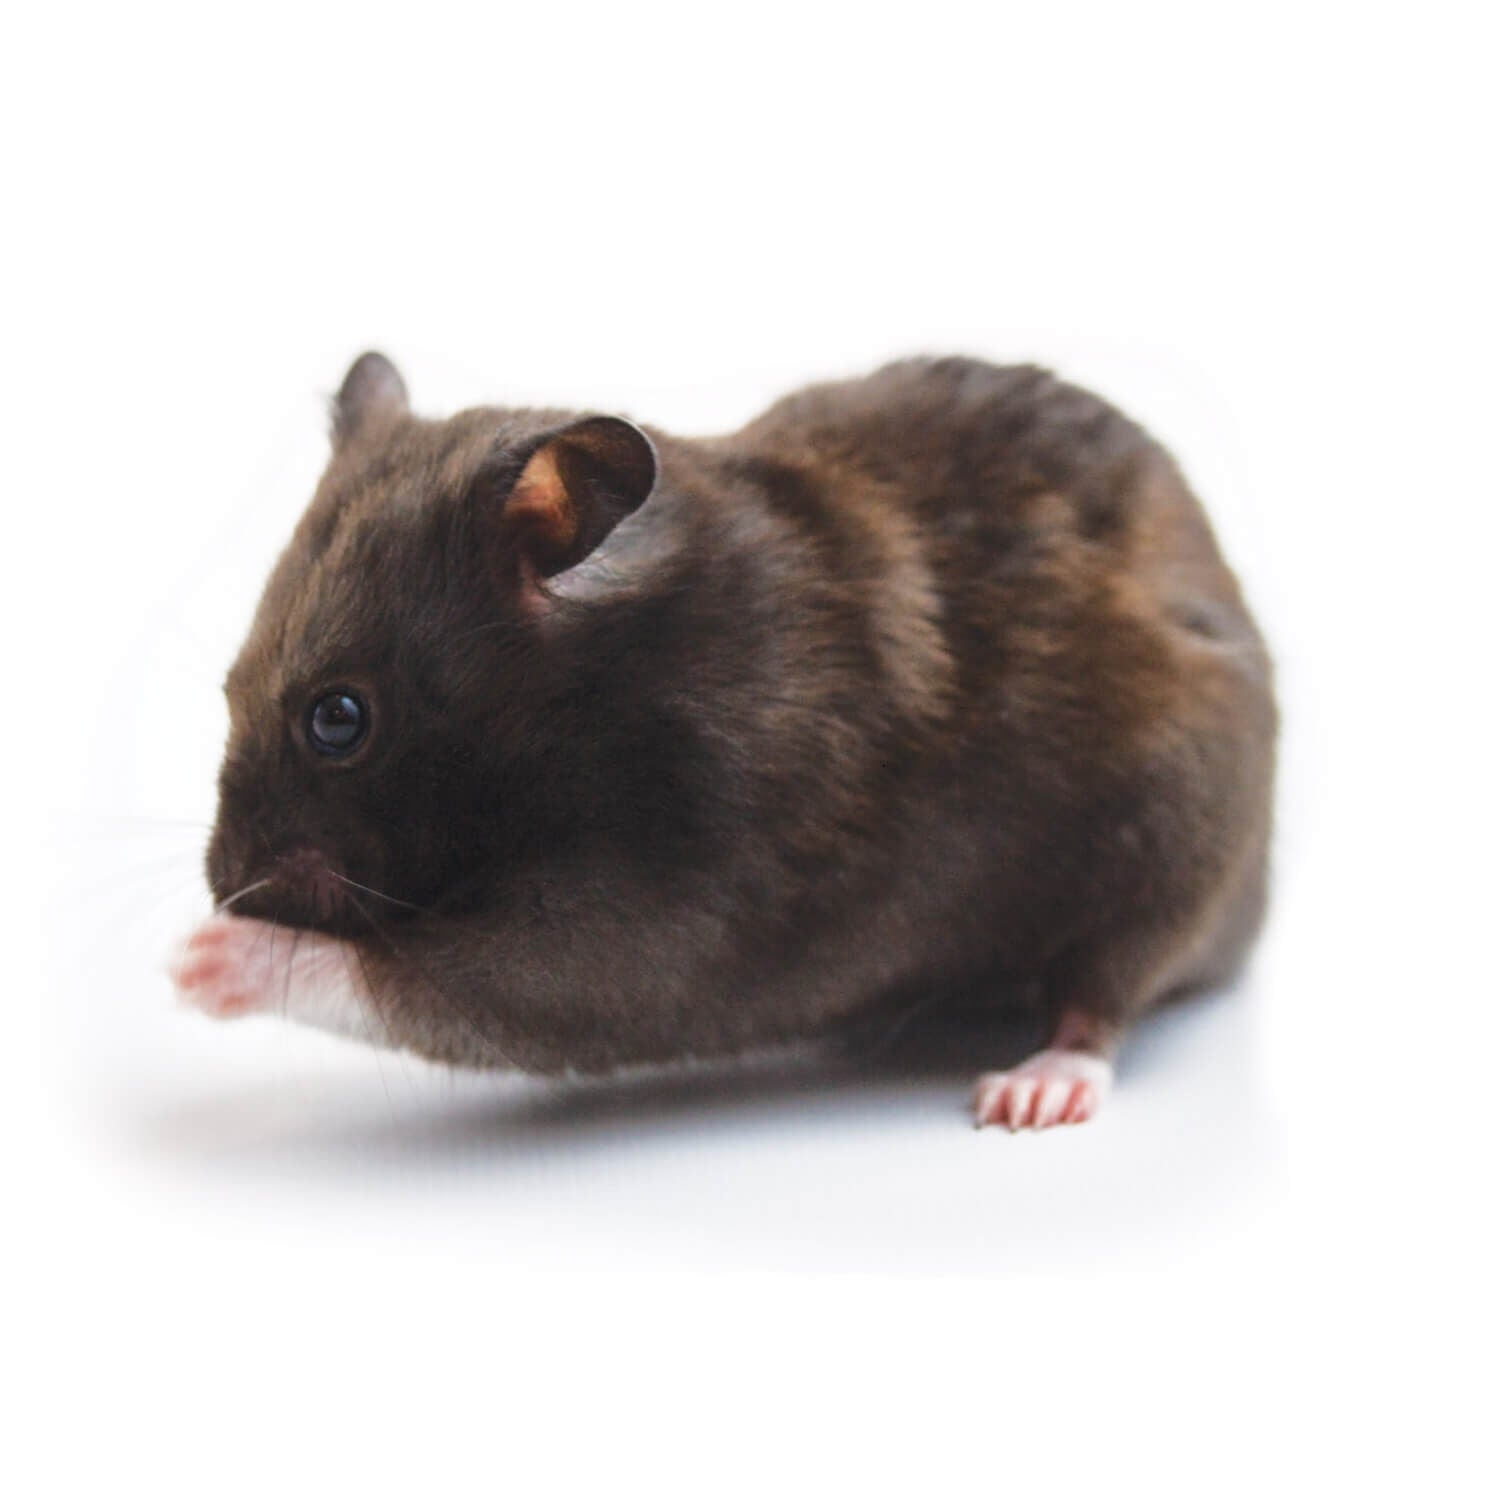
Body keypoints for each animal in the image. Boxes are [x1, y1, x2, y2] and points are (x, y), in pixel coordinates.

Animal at [171, 352, 1276, 1129]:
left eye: (338, 718)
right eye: (227, 684)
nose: (226, 888)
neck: (599, 690)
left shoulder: (697, 891)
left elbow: (447, 983)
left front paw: (196, 961)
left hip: (1180, 823)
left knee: (1113, 982)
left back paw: (1033, 1089)